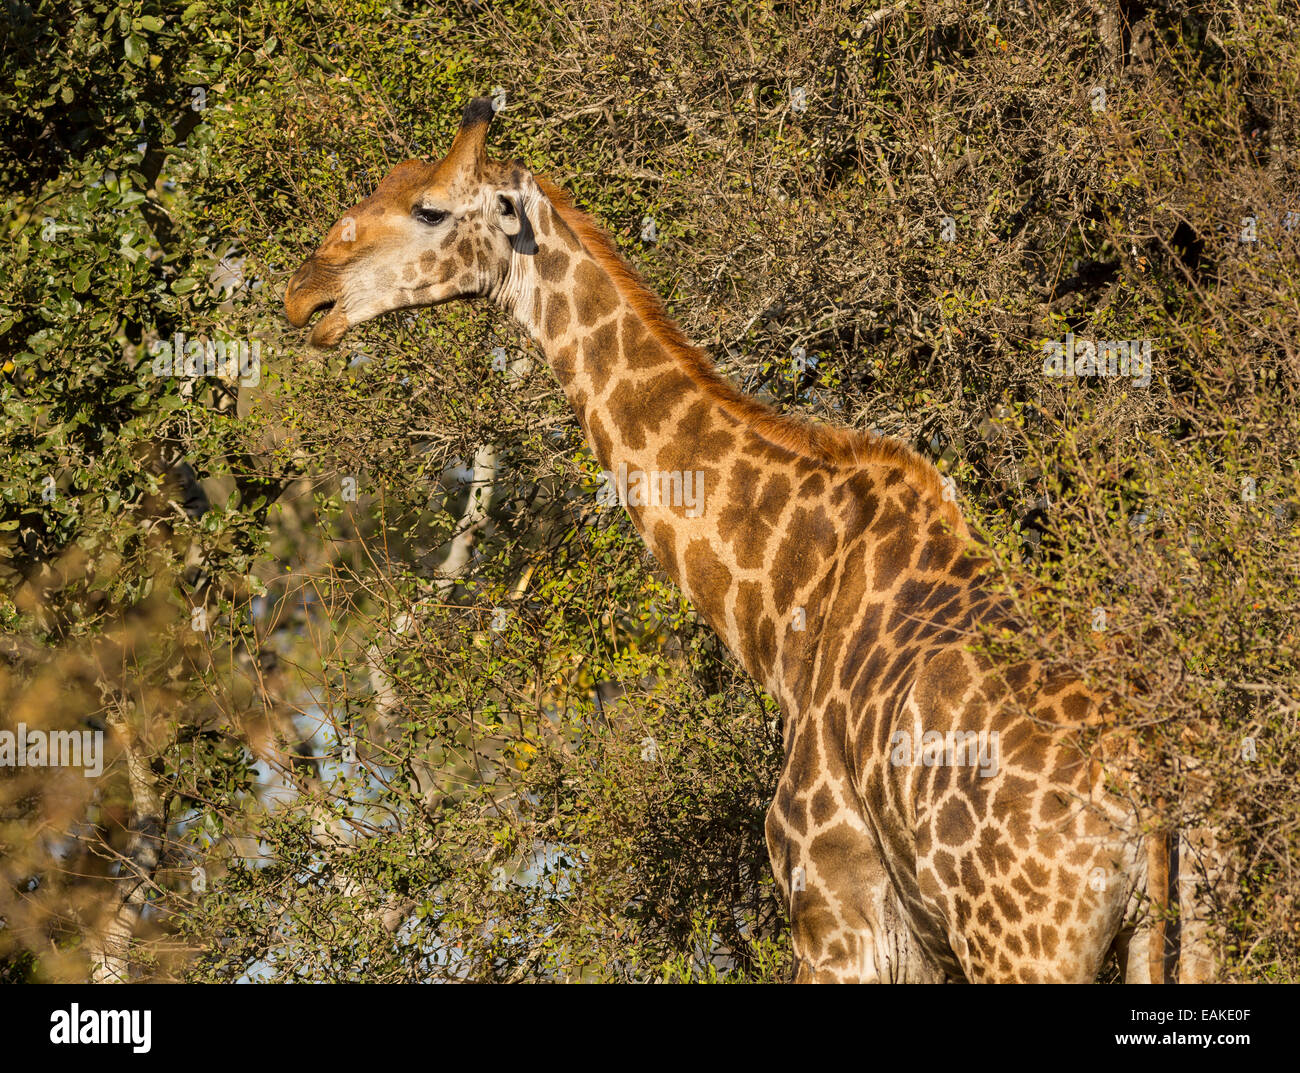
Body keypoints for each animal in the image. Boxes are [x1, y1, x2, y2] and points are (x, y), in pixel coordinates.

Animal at [284, 98, 1218, 983]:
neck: (785, 601)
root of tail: (1151, 785)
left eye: (431, 209)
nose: (306, 295)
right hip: (1183, 928)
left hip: (1025, 939)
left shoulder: (837, 911)